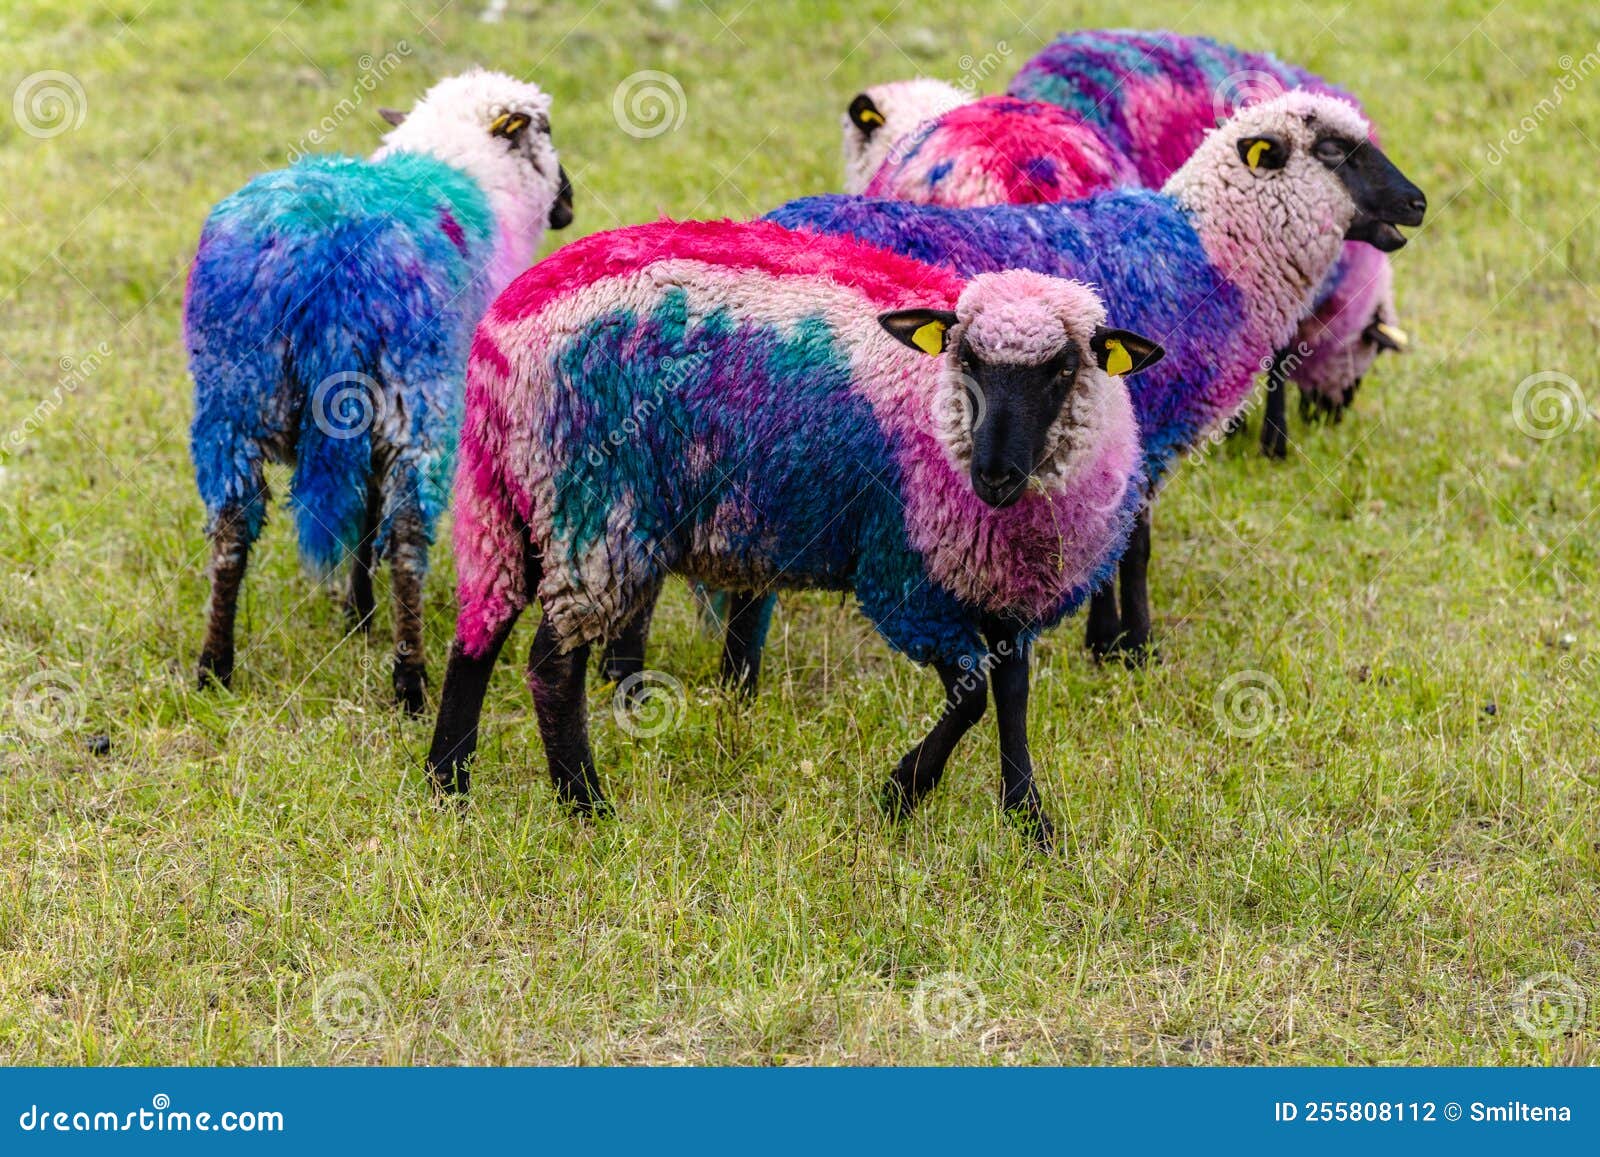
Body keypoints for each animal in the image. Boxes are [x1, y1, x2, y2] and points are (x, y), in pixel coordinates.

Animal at [186, 68, 574, 713]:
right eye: (543, 132)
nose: (568, 205)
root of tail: (321, 256)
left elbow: (359, 510)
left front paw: (355, 612)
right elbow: (373, 515)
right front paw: (364, 616)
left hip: (233, 395)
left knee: (231, 531)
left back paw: (214, 665)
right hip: (412, 394)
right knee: (408, 537)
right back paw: (410, 680)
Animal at [425, 218, 1165, 845]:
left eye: (1063, 368)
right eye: (968, 362)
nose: (994, 474)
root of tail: (506, 325)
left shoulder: (1007, 589)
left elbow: (1012, 694)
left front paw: (1029, 822)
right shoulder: (905, 581)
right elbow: (974, 695)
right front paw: (900, 792)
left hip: (507, 500)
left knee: (480, 632)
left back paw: (447, 785)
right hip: (593, 508)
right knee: (552, 664)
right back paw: (584, 804)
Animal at [756, 91, 1426, 666]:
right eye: (1335, 150)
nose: (1418, 202)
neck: (1213, 254)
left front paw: (1107, 639)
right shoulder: (1145, 423)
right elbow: (1134, 545)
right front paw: (1129, 646)